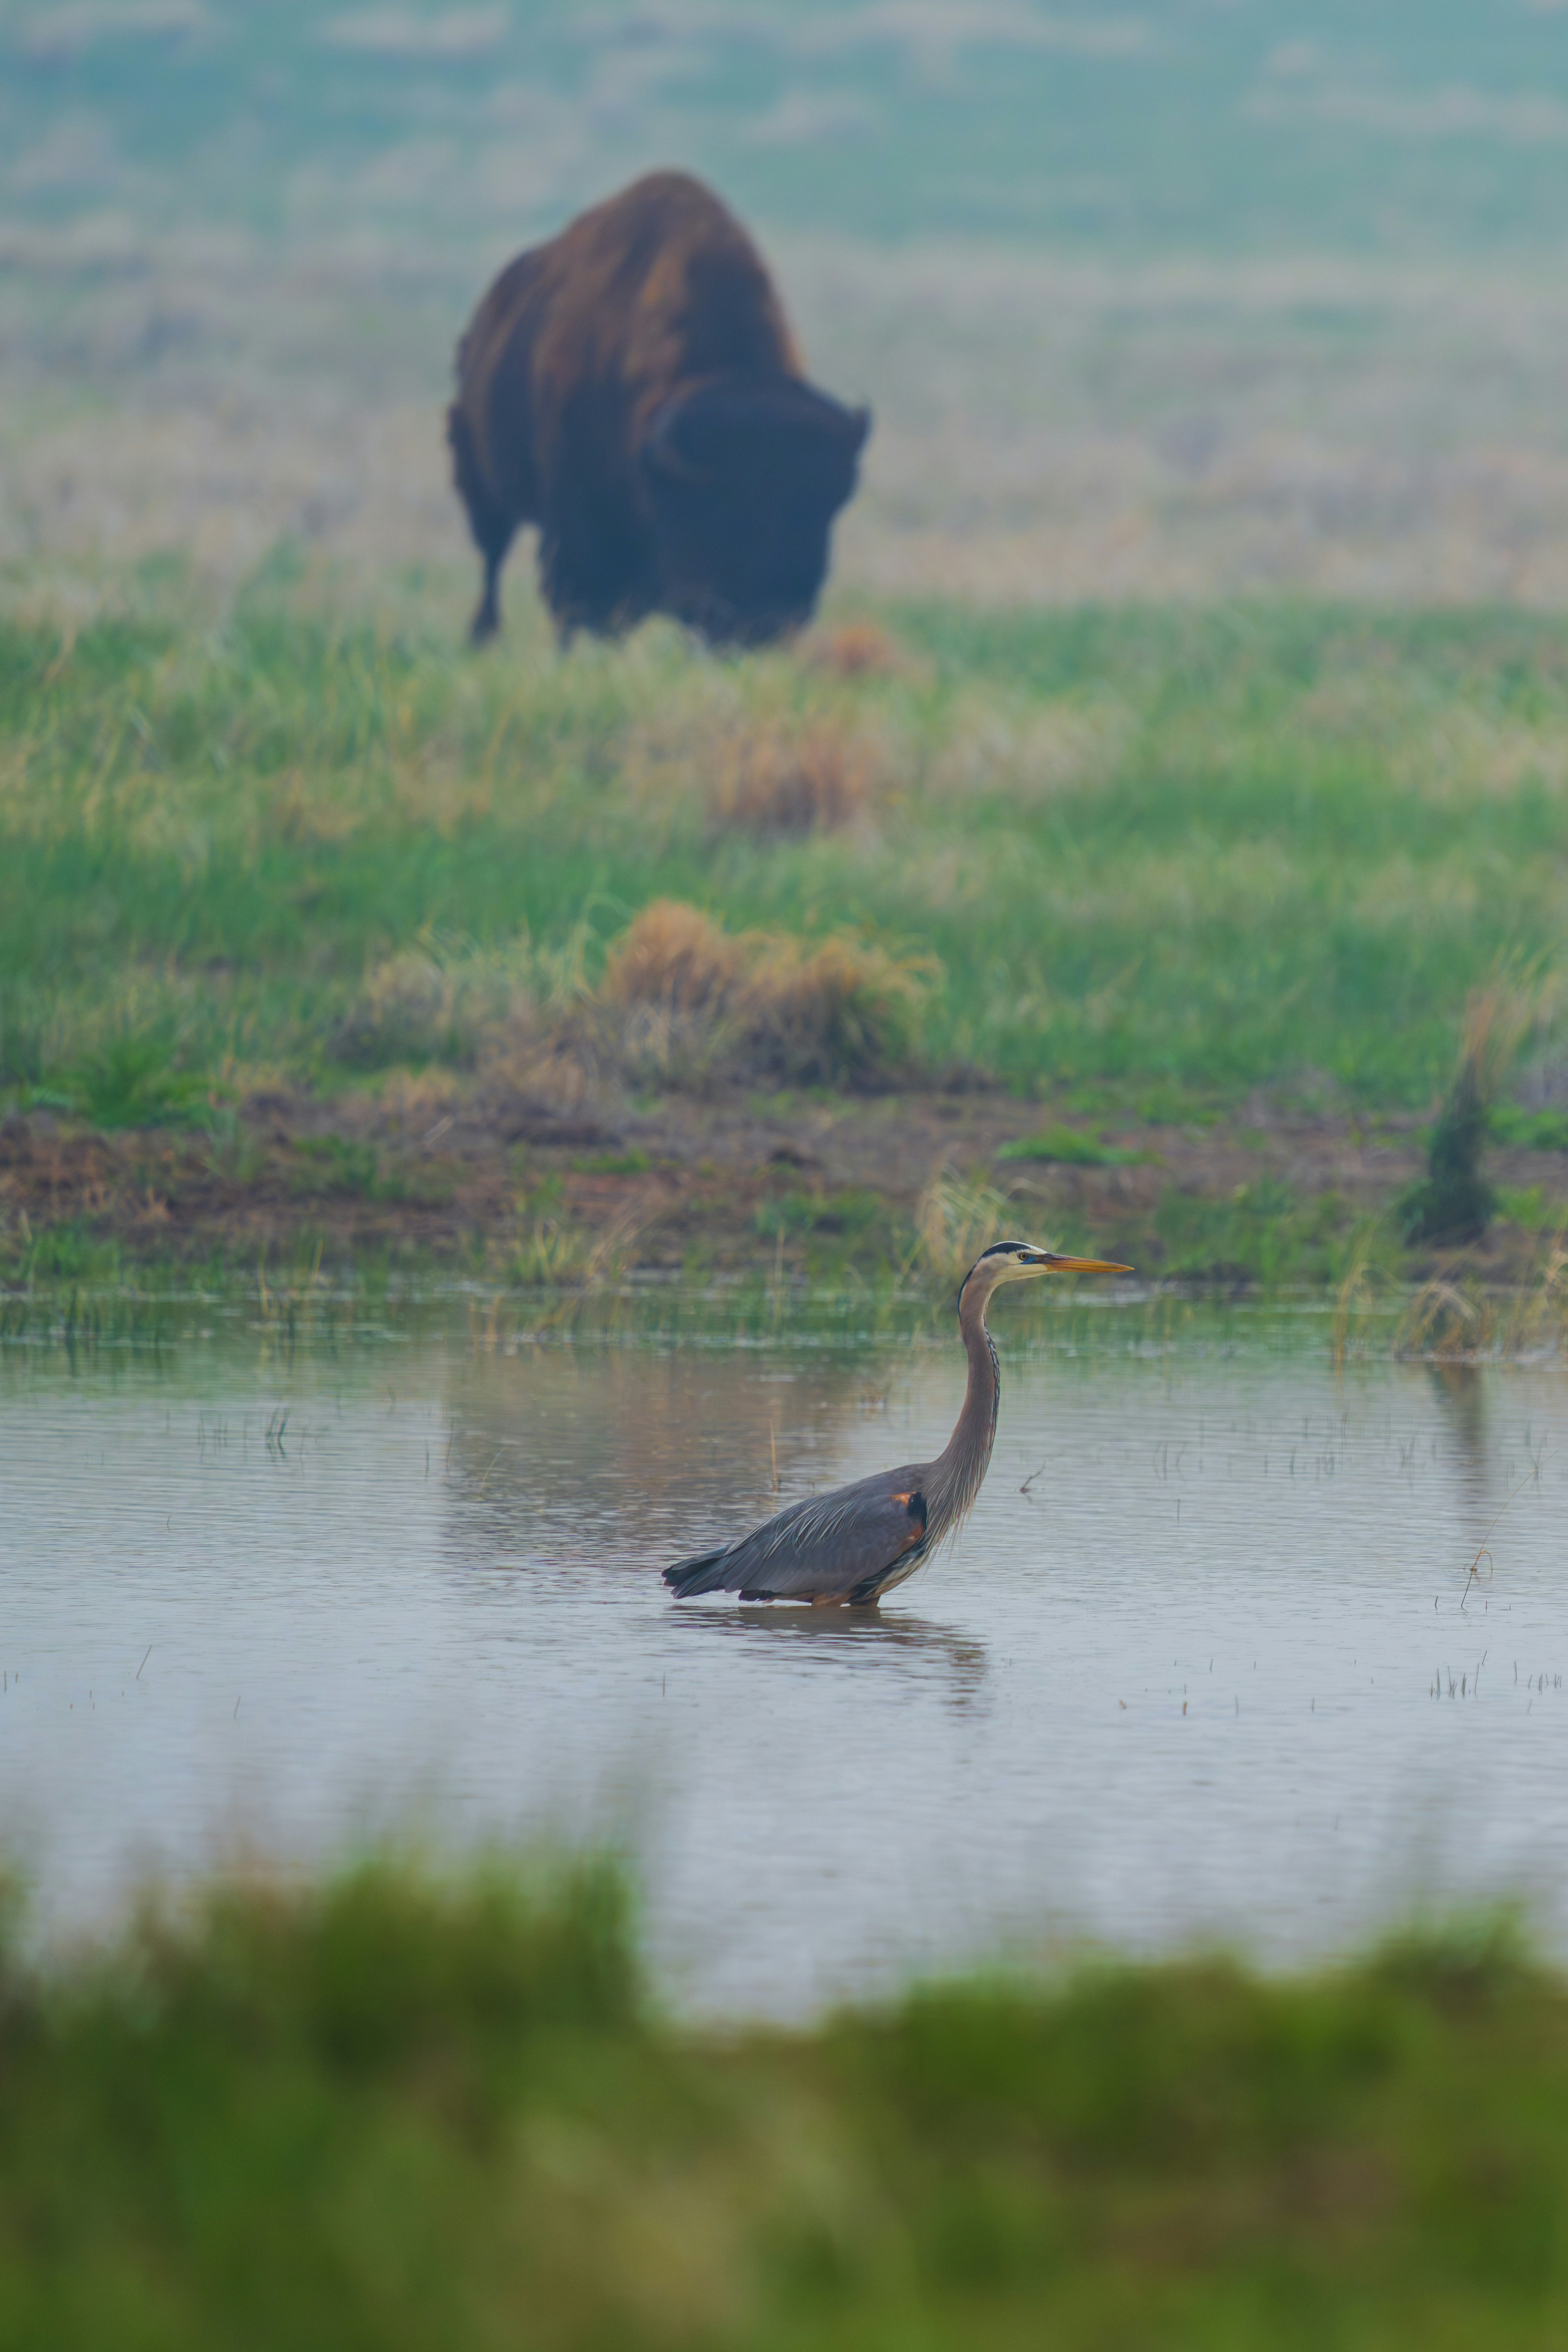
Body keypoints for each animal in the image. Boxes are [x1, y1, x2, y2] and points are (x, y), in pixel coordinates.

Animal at [446, 171, 870, 648]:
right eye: (724, 508)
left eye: (829, 505)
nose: (770, 622)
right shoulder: (577, 532)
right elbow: (575, 599)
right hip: (477, 478)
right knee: (492, 556)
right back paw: (483, 636)